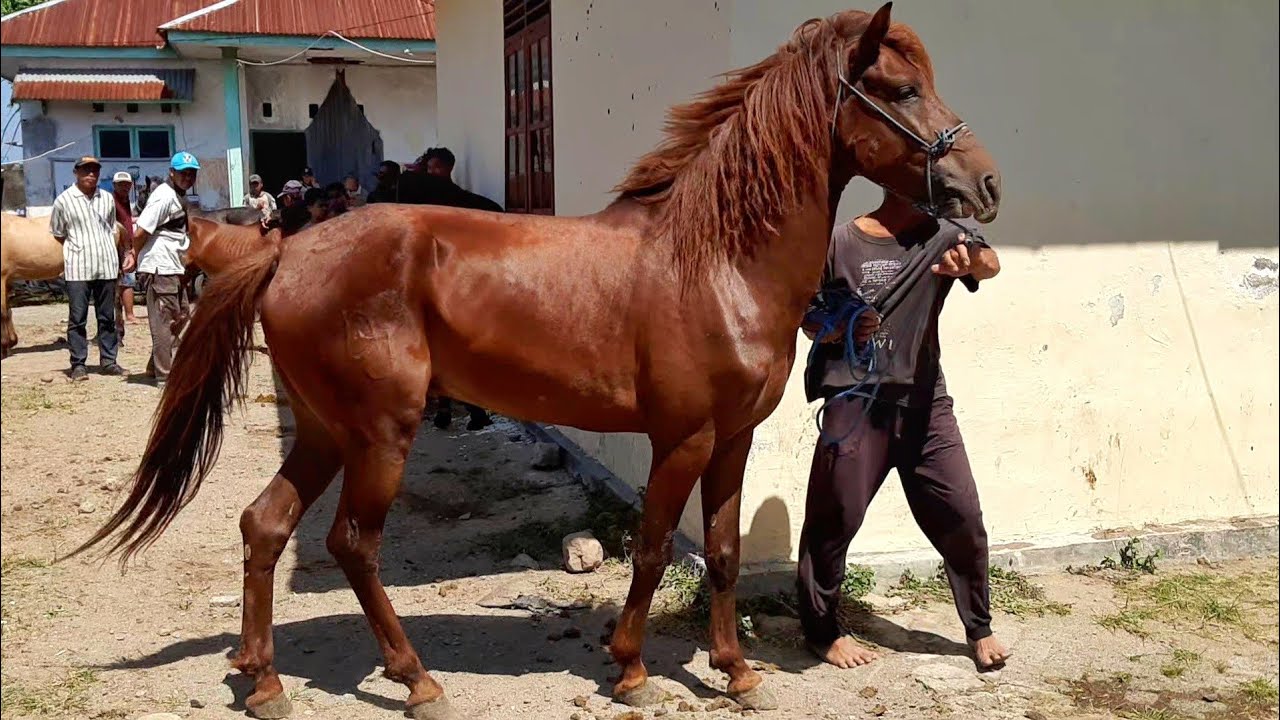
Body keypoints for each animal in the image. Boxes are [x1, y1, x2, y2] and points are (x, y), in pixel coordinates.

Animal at [2, 213, 126, 358]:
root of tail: (116, 225)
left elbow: (3, 312)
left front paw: (4, 348)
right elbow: (8, 311)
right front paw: (10, 343)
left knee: (114, 303)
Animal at [74, 5, 1000, 718]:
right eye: (901, 89)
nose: (985, 185)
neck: (716, 260)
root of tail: (286, 251)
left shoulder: (732, 441)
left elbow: (725, 552)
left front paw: (737, 672)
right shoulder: (684, 439)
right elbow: (655, 549)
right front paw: (631, 669)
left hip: (326, 430)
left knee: (265, 525)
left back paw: (263, 679)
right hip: (379, 433)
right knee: (352, 544)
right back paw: (417, 681)